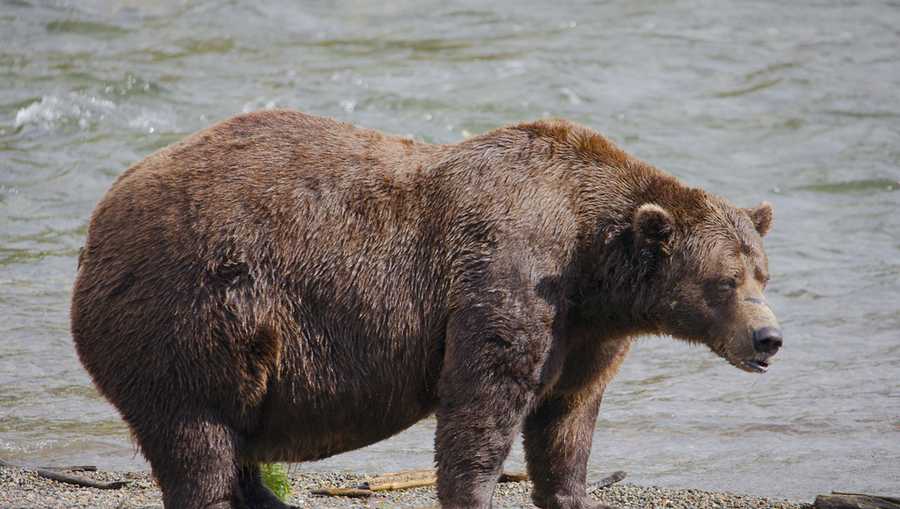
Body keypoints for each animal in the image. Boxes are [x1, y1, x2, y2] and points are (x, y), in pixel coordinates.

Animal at [72, 112, 780, 508]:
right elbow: (483, 404)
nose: (768, 338)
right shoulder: (508, 275)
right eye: (723, 281)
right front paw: (475, 490)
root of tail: (98, 221)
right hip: (190, 313)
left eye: (763, 273)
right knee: (198, 443)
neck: (592, 263)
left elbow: (567, 421)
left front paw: (569, 491)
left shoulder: (585, 334)